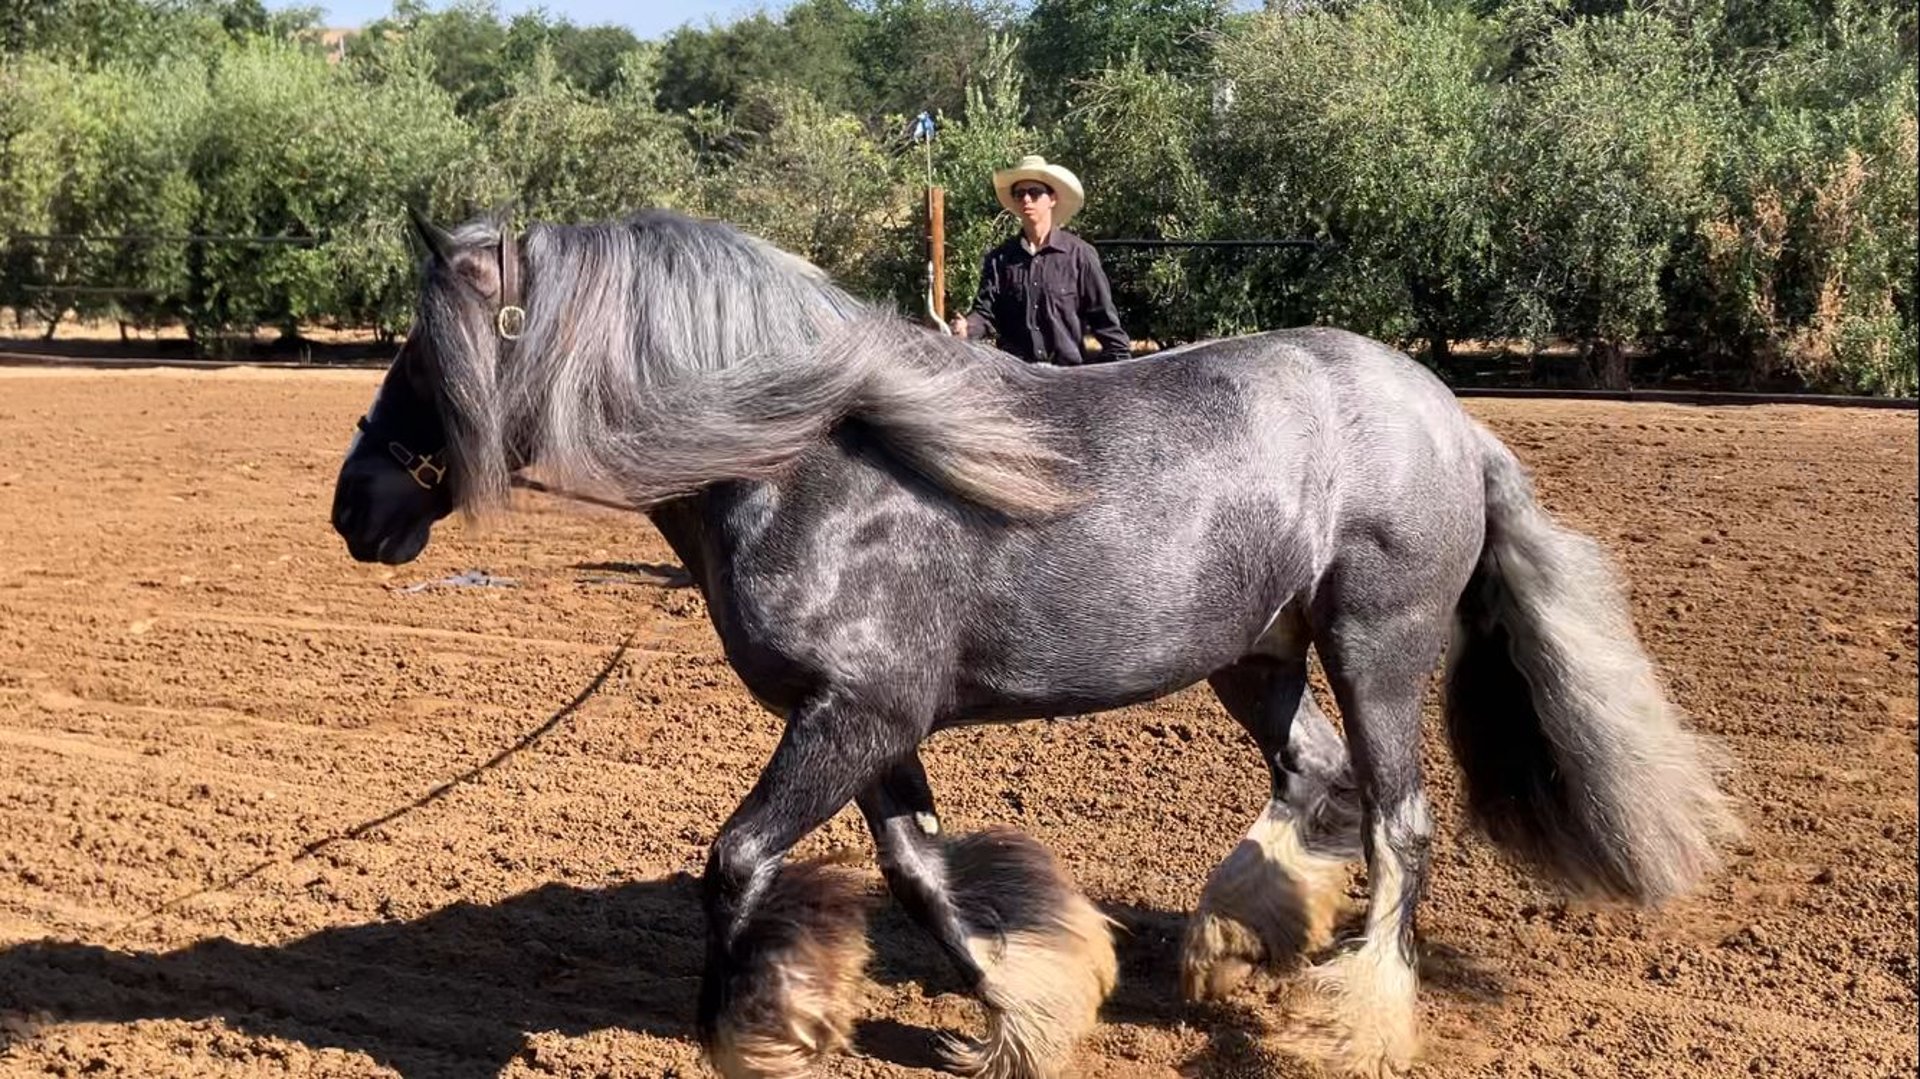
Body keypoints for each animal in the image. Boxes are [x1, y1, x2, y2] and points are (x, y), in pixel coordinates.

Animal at [329, 207, 1737, 1079]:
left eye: (431, 352)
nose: (357, 506)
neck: (807, 460)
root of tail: (1451, 417)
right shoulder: (874, 726)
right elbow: (919, 873)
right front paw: (1031, 1007)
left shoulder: (851, 716)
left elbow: (735, 858)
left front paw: (753, 1028)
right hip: (1256, 657)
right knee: (1317, 778)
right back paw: (1229, 940)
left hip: (1374, 642)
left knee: (1399, 821)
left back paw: (1356, 1023)